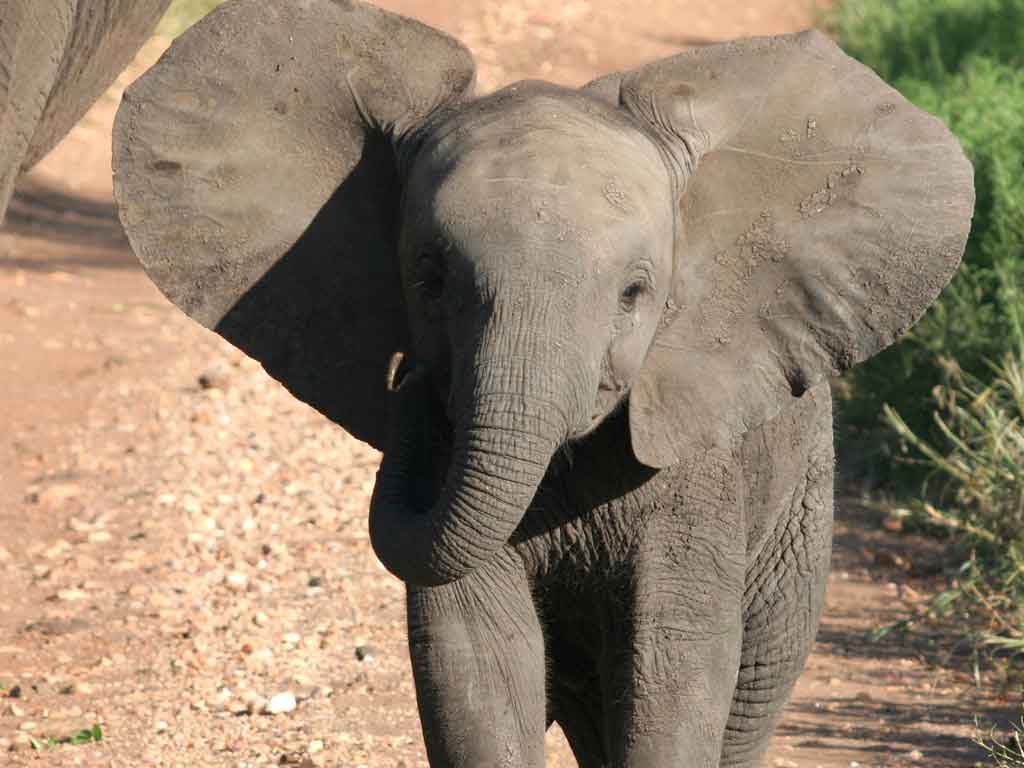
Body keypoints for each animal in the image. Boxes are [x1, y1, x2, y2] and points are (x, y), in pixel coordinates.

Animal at [111, 1, 974, 766]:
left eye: (635, 294)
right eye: (429, 280)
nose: (405, 383)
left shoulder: (699, 467)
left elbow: (675, 660)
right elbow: (471, 657)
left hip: (797, 529)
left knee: (746, 698)